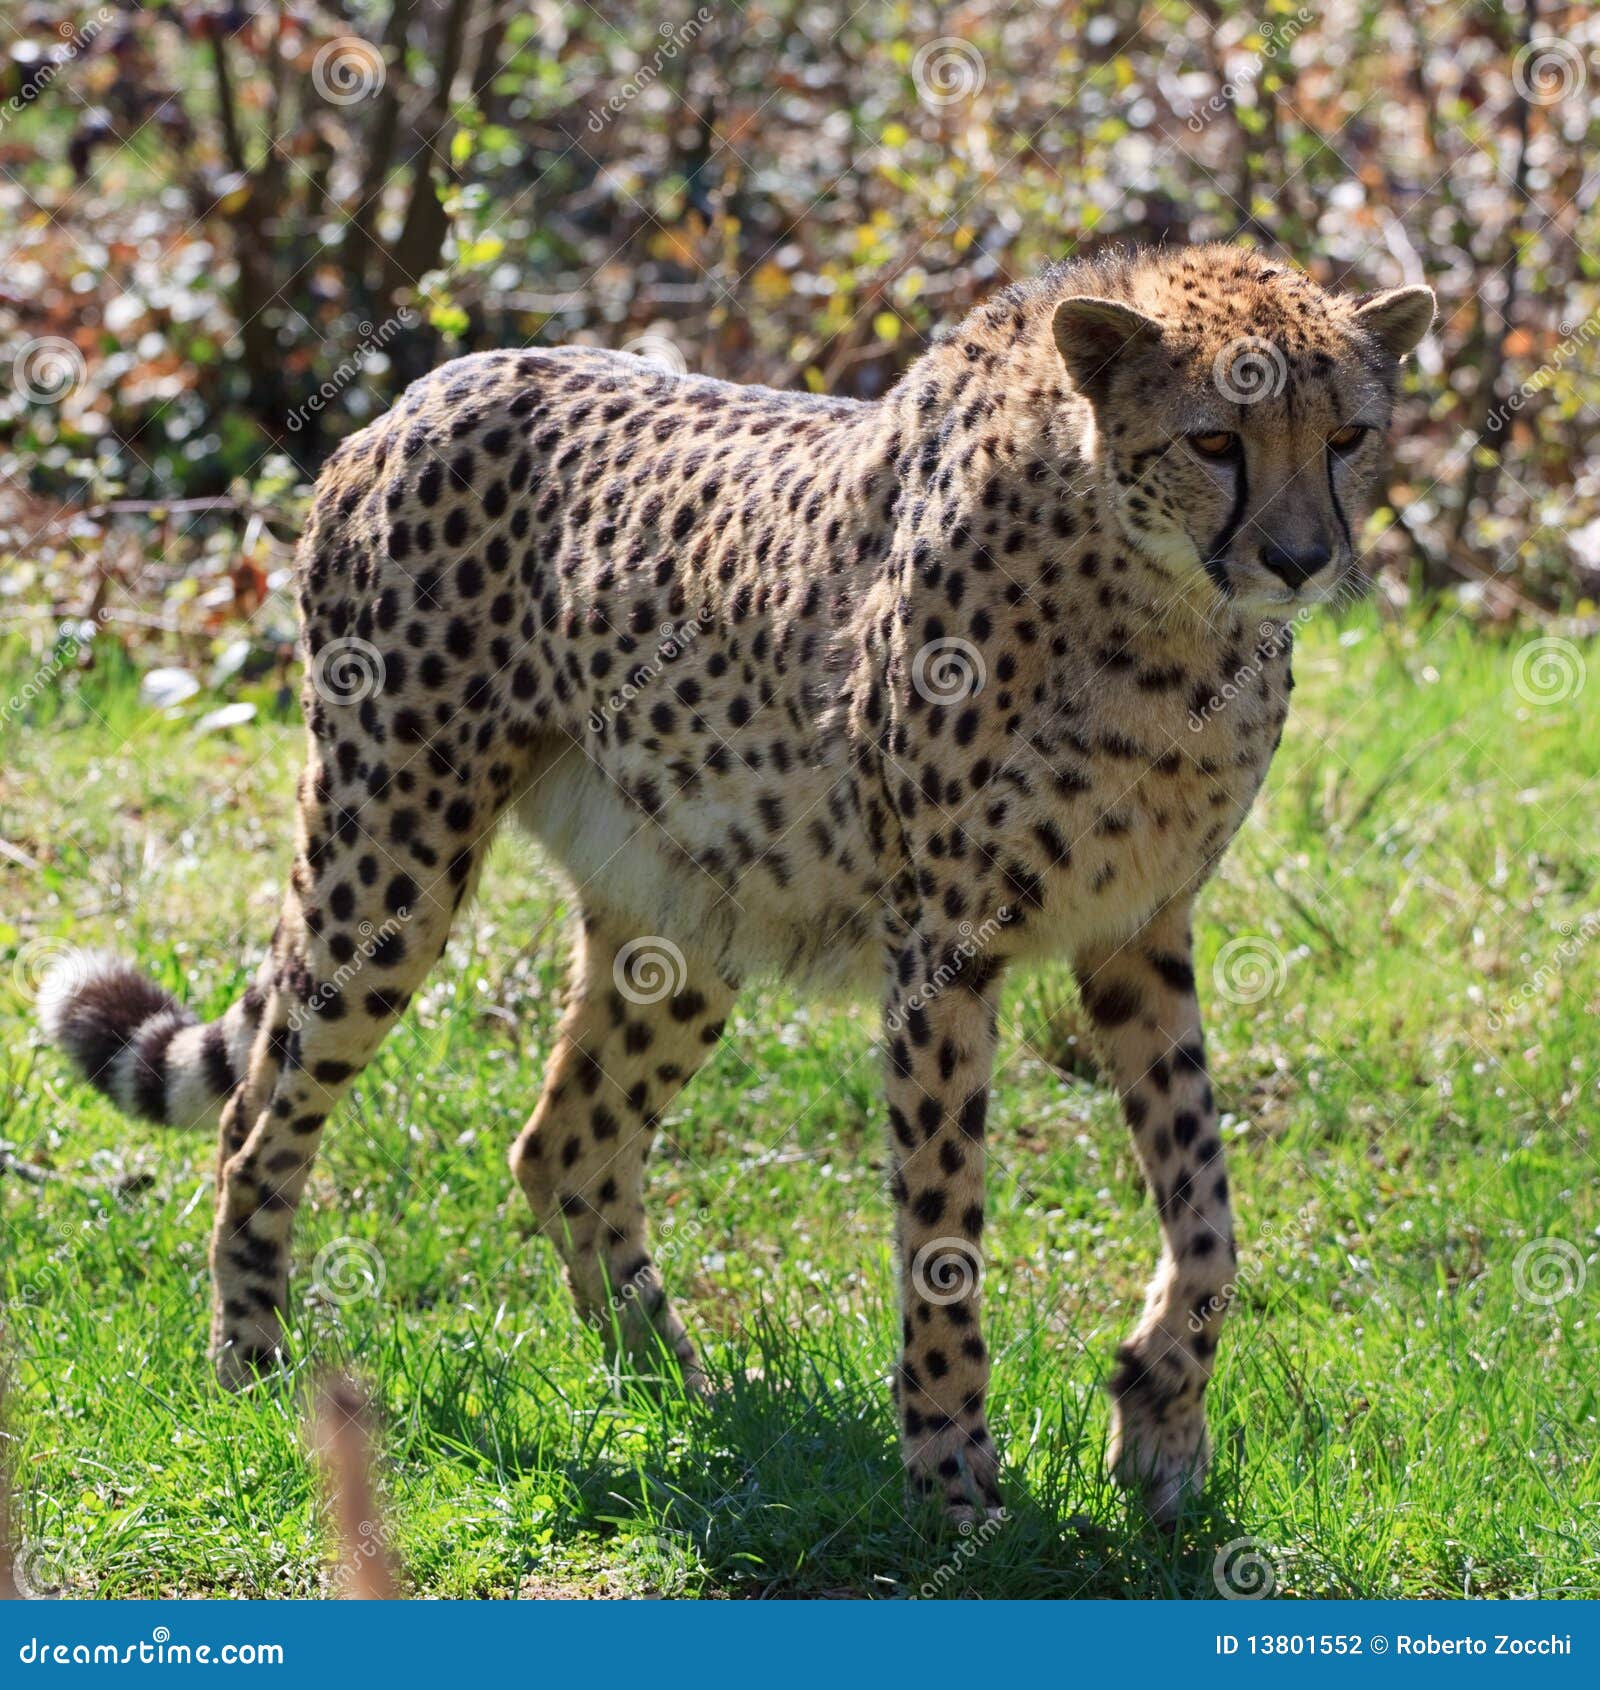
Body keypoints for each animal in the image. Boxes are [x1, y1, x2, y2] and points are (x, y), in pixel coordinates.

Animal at [39, 242, 1433, 1525]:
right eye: (1215, 438)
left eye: (1347, 435)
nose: (1302, 558)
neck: (1158, 606)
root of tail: (422, 391)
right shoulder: (944, 945)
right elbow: (941, 1229)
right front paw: (950, 1478)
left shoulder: (1139, 932)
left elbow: (1209, 1216)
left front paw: (1158, 1426)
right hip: (391, 853)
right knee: (256, 1116)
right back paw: (251, 1364)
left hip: (689, 917)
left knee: (564, 1145)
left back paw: (680, 1391)